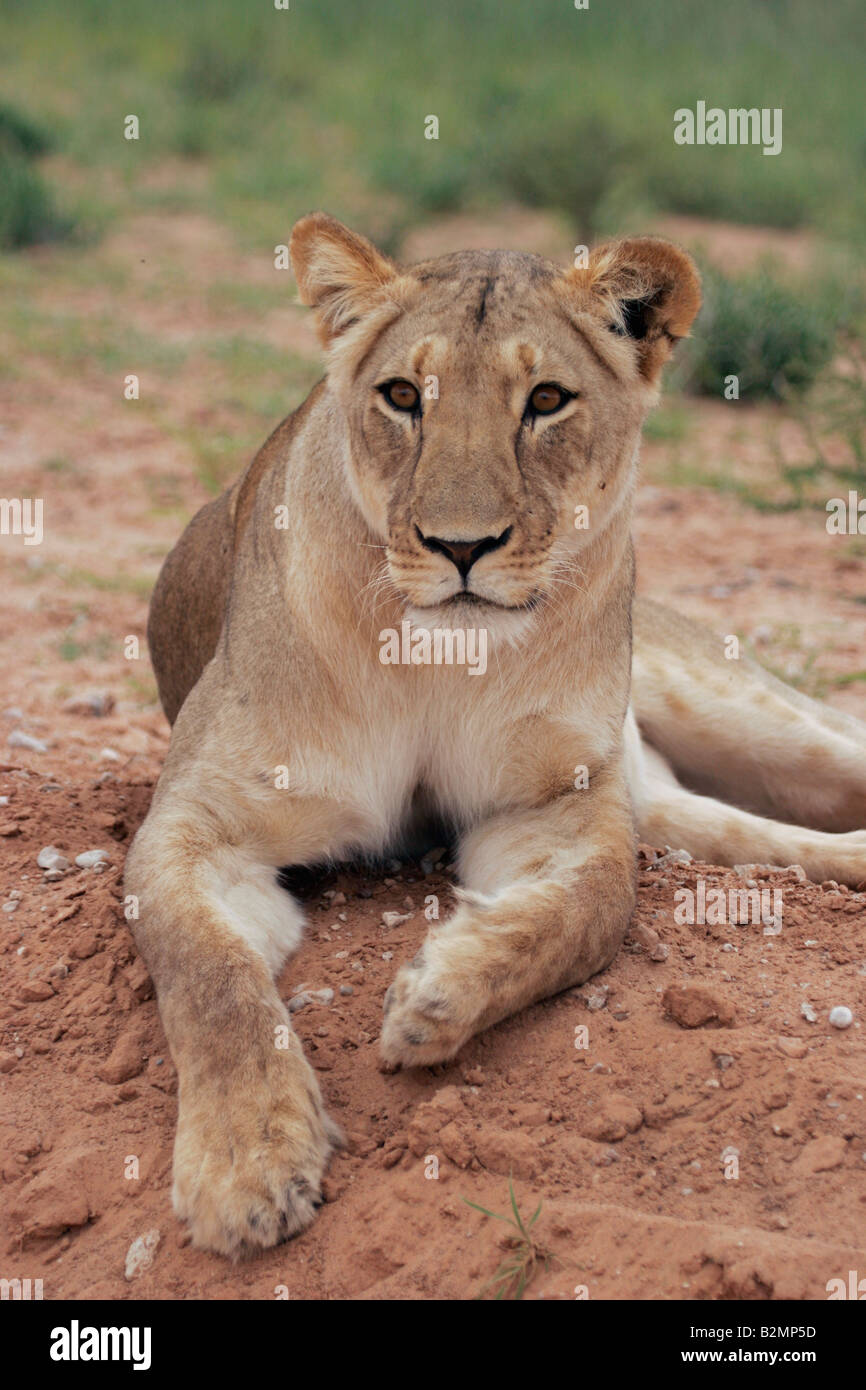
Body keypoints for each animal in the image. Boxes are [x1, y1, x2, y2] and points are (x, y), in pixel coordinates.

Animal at [125, 213, 866, 1256]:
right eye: (403, 396)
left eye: (546, 400)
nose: (461, 547)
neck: (435, 660)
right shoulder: (198, 823)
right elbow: (209, 973)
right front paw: (247, 1166)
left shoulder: (554, 803)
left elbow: (582, 910)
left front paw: (436, 998)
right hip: (673, 798)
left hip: (735, 710)